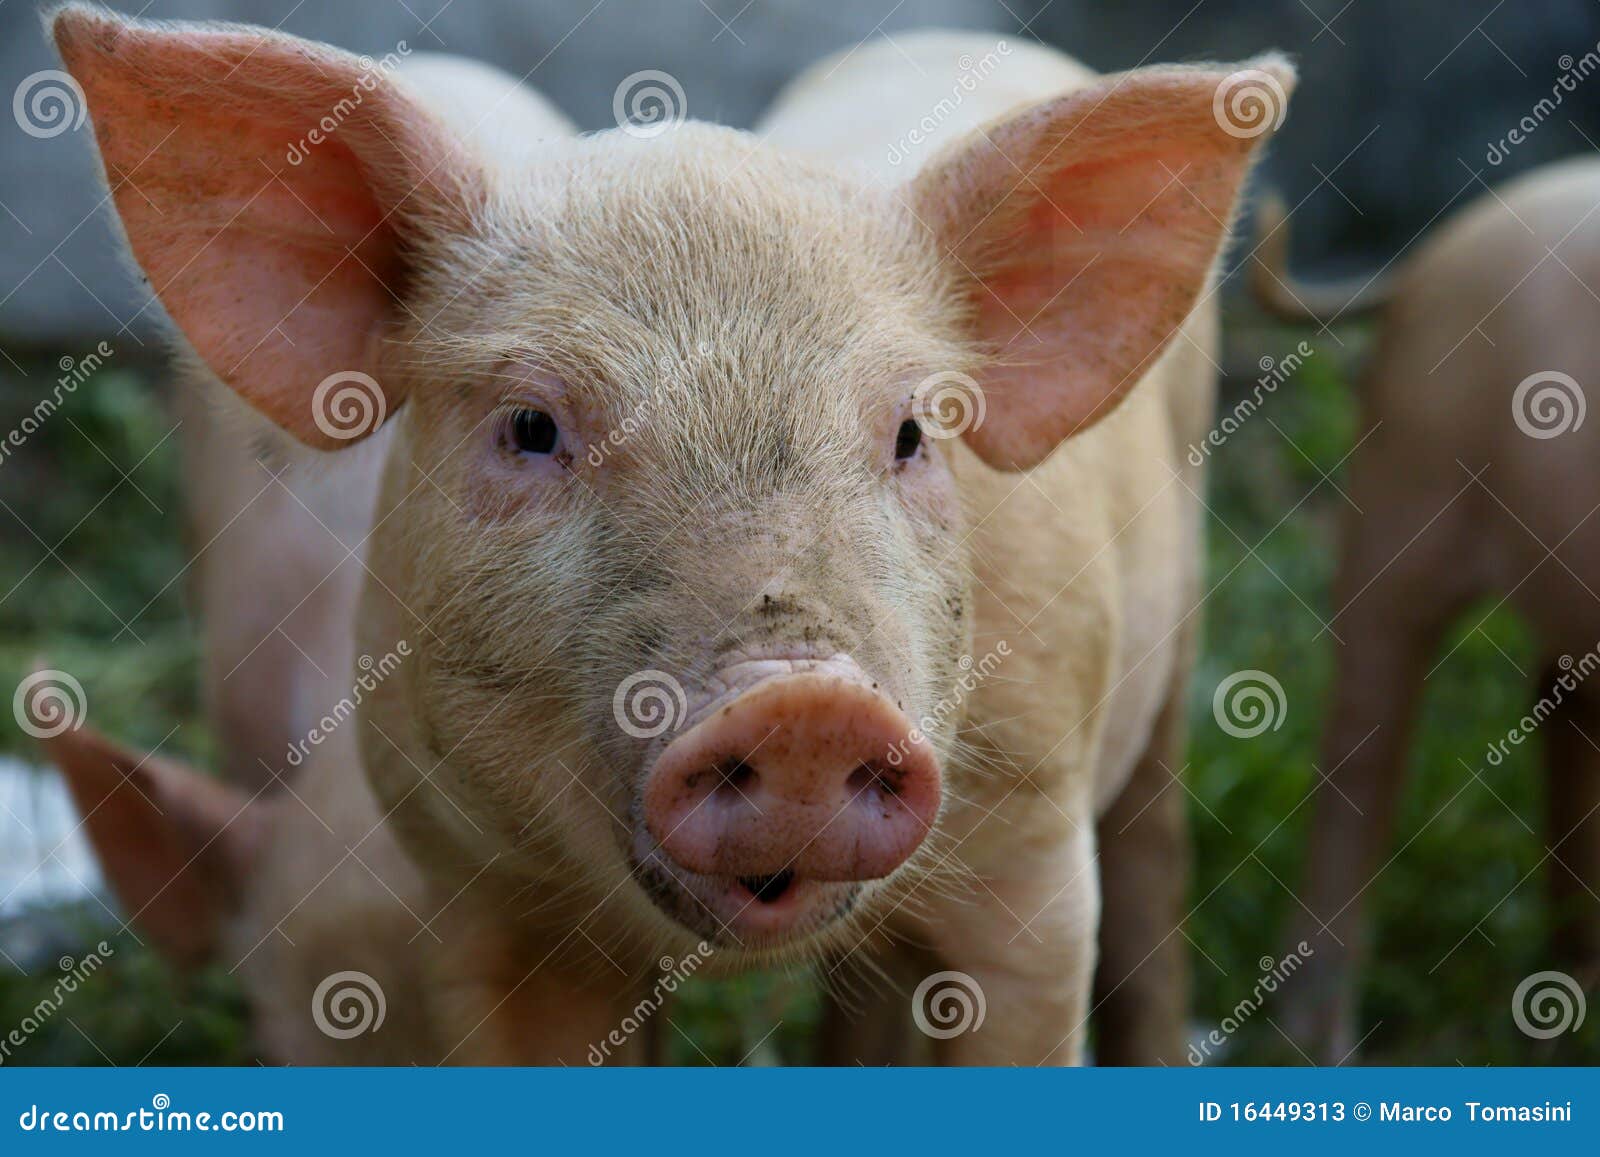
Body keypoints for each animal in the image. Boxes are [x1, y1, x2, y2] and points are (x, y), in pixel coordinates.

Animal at [42, 5, 1292, 1064]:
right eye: (531, 426)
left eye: (909, 433)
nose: (802, 704)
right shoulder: (481, 893)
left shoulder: (1033, 848)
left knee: (1150, 853)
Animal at [1252, 158, 1600, 1062]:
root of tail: (1426, 256)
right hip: (1404, 486)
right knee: (1359, 749)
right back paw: (1325, 1041)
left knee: (1559, 700)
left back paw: (1575, 976)